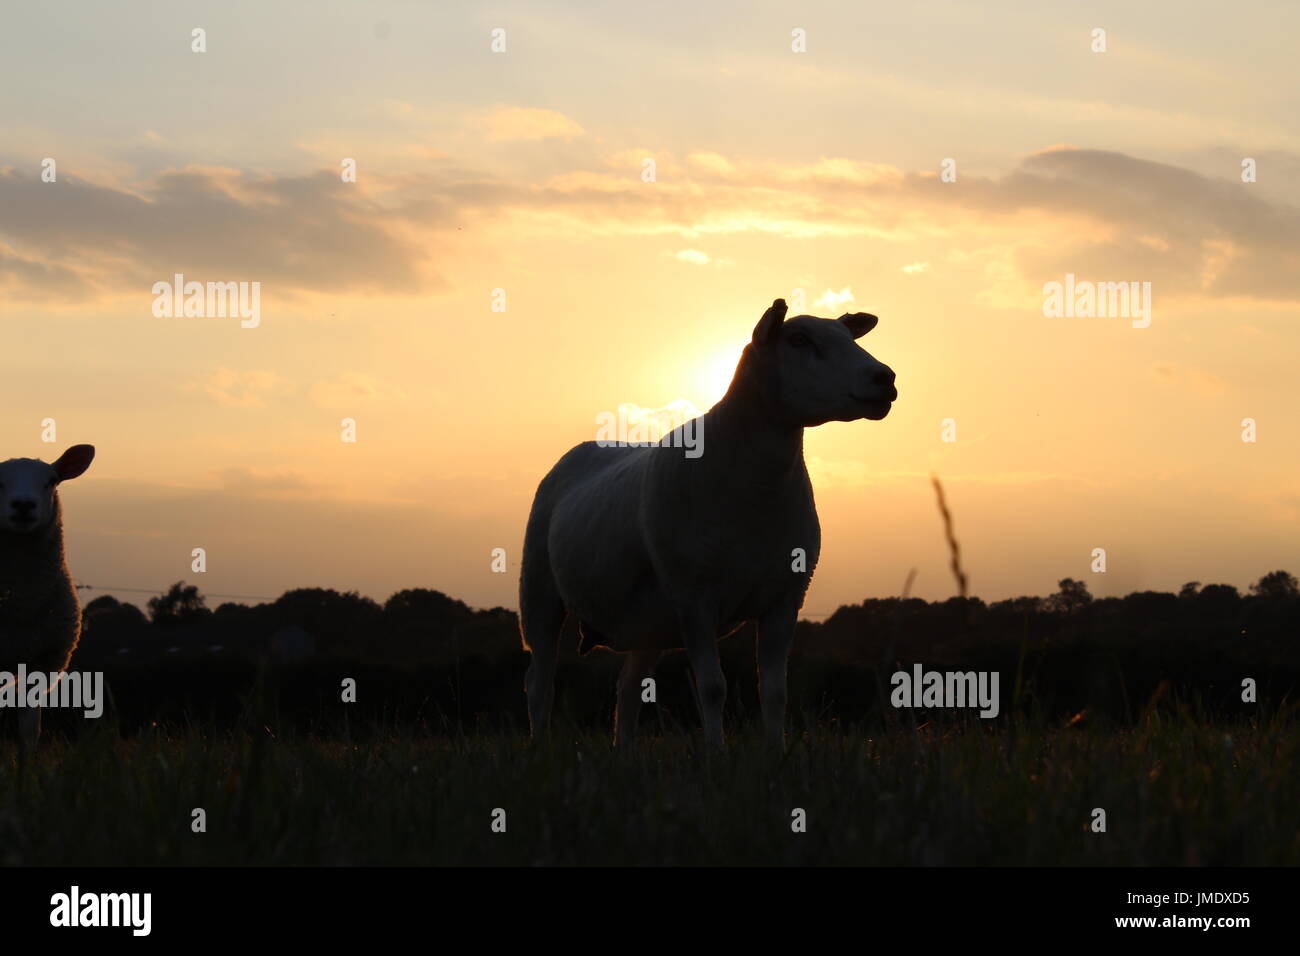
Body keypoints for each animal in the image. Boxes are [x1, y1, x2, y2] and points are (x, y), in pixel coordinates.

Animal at [519, 299, 897, 747]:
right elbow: (713, 687)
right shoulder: (695, 597)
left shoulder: (786, 598)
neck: (758, 492)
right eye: (799, 340)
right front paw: (716, 753)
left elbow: (775, 690)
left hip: (647, 620)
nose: (885, 378)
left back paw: (623, 751)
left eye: (848, 338)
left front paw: (776, 751)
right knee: (540, 682)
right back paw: (539, 745)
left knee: (627, 688)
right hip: (539, 592)